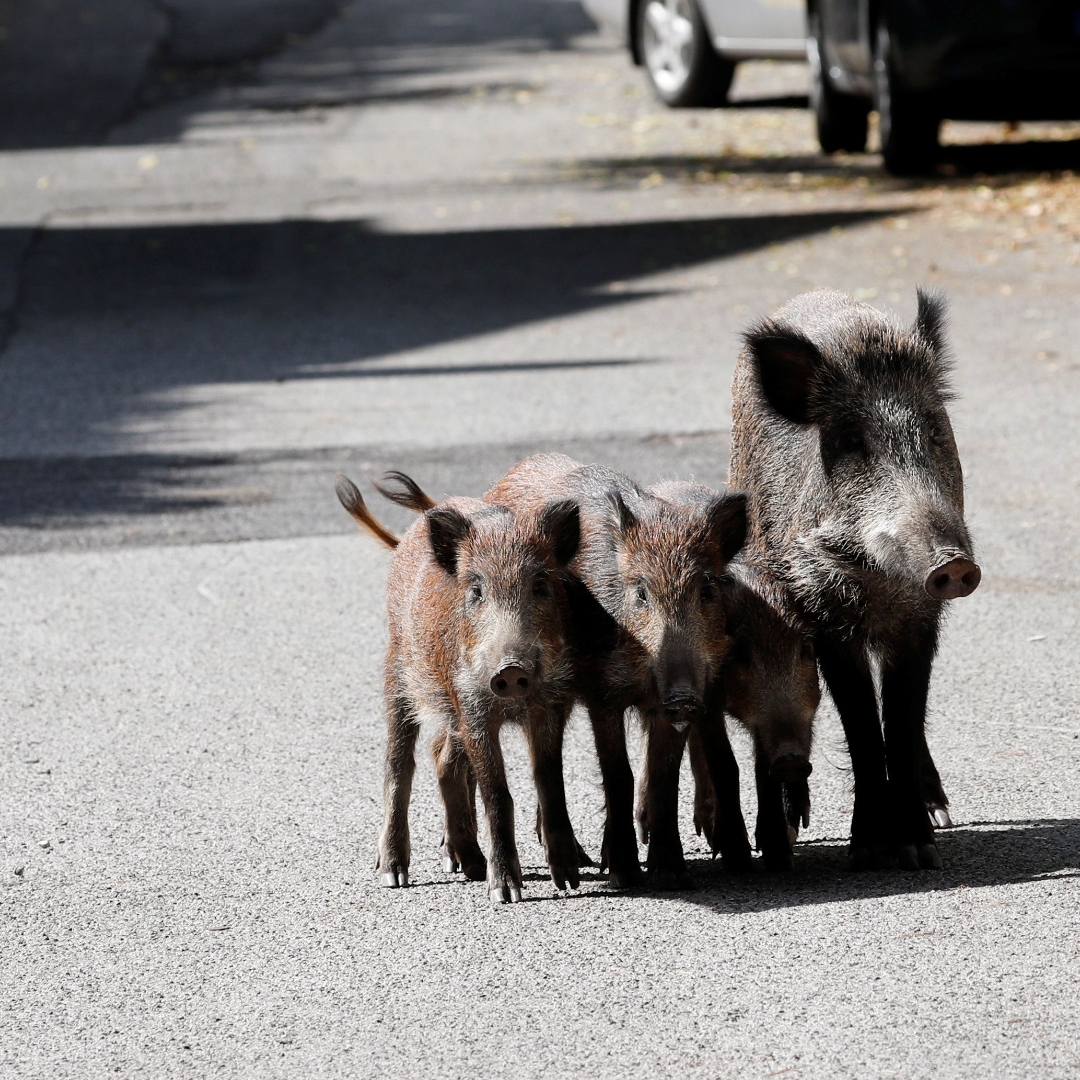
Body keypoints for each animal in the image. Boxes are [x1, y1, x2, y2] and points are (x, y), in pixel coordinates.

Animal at [334, 473, 583, 903]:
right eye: (476, 590)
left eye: (540, 585)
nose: (510, 668)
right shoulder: (472, 704)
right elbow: (497, 793)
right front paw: (505, 893)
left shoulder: (550, 702)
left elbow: (550, 782)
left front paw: (569, 879)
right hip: (399, 673)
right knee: (399, 762)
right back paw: (393, 873)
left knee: (444, 759)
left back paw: (470, 865)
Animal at [731, 288, 980, 870]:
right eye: (848, 440)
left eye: (933, 429)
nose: (952, 564)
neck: (878, 584)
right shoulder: (823, 613)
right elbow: (862, 723)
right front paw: (867, 851)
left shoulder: (919, 622)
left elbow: (903, 719)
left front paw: (919, 849)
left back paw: (940, 812)